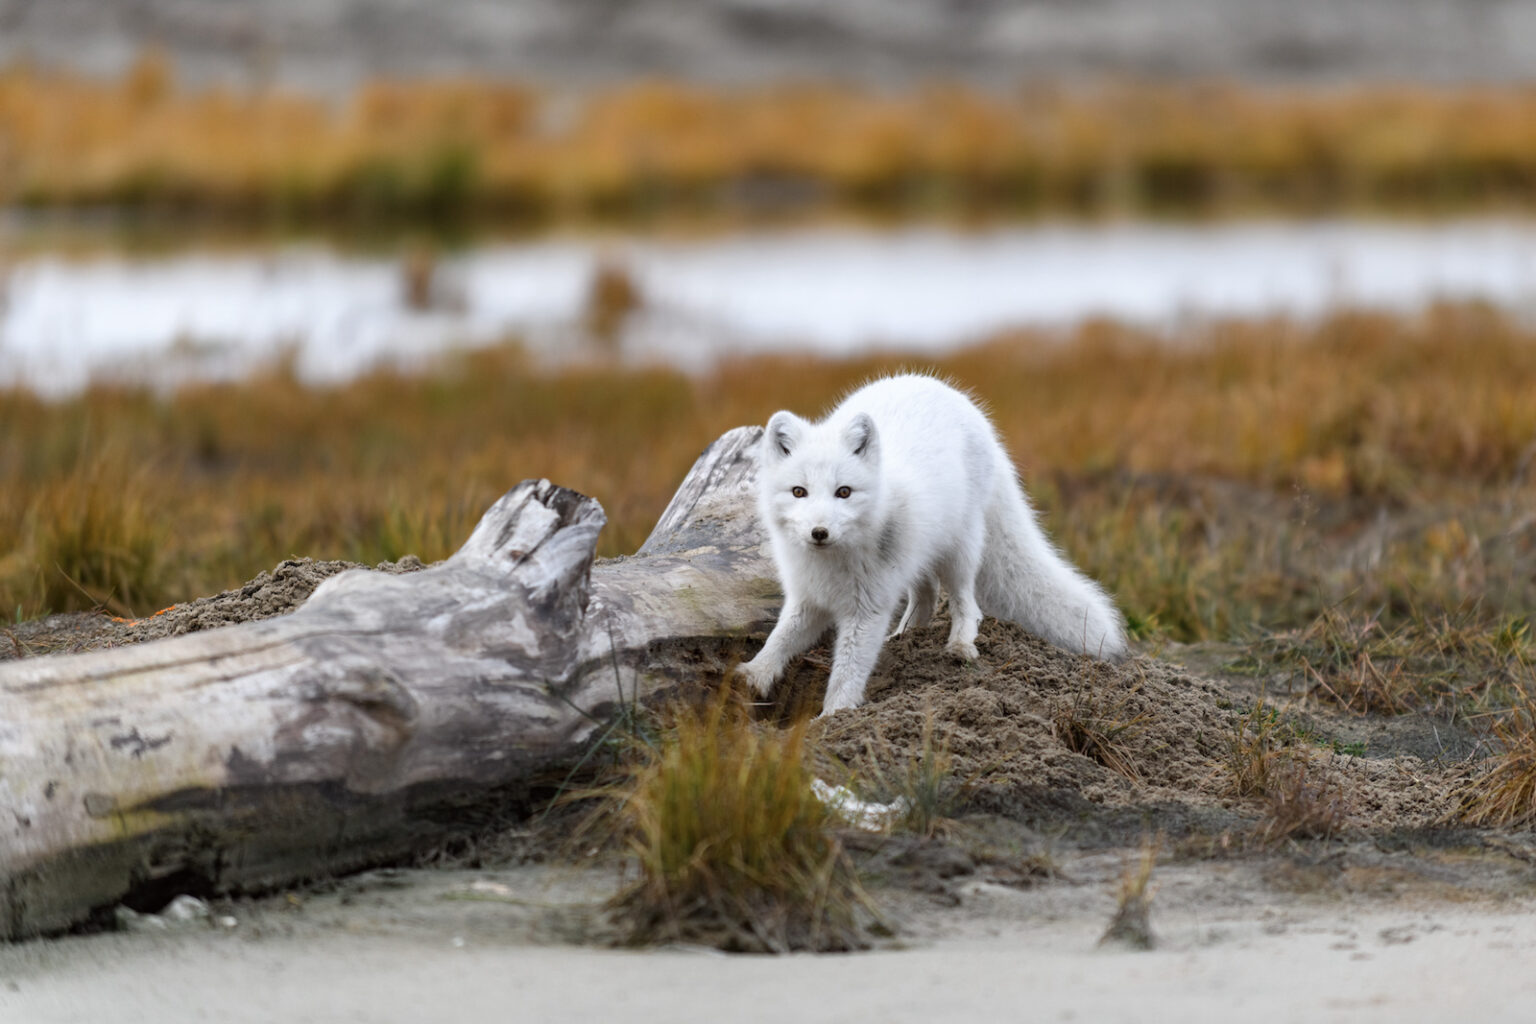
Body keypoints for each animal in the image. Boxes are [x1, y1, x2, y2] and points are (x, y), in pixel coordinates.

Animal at [735, 373, 1127, 716]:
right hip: (917, 556)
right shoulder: (806, 599)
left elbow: (847, 672)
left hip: (960, 551)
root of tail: (966, 405)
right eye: (798, 491)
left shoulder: (867, 611)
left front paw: (835, 717)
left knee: (966, 604)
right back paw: (906, 639)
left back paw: (959, 646)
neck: (832, 563)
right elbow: (780, 638)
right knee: (924, 597)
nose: (819, 532)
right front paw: (753, 675)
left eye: (843, 492)